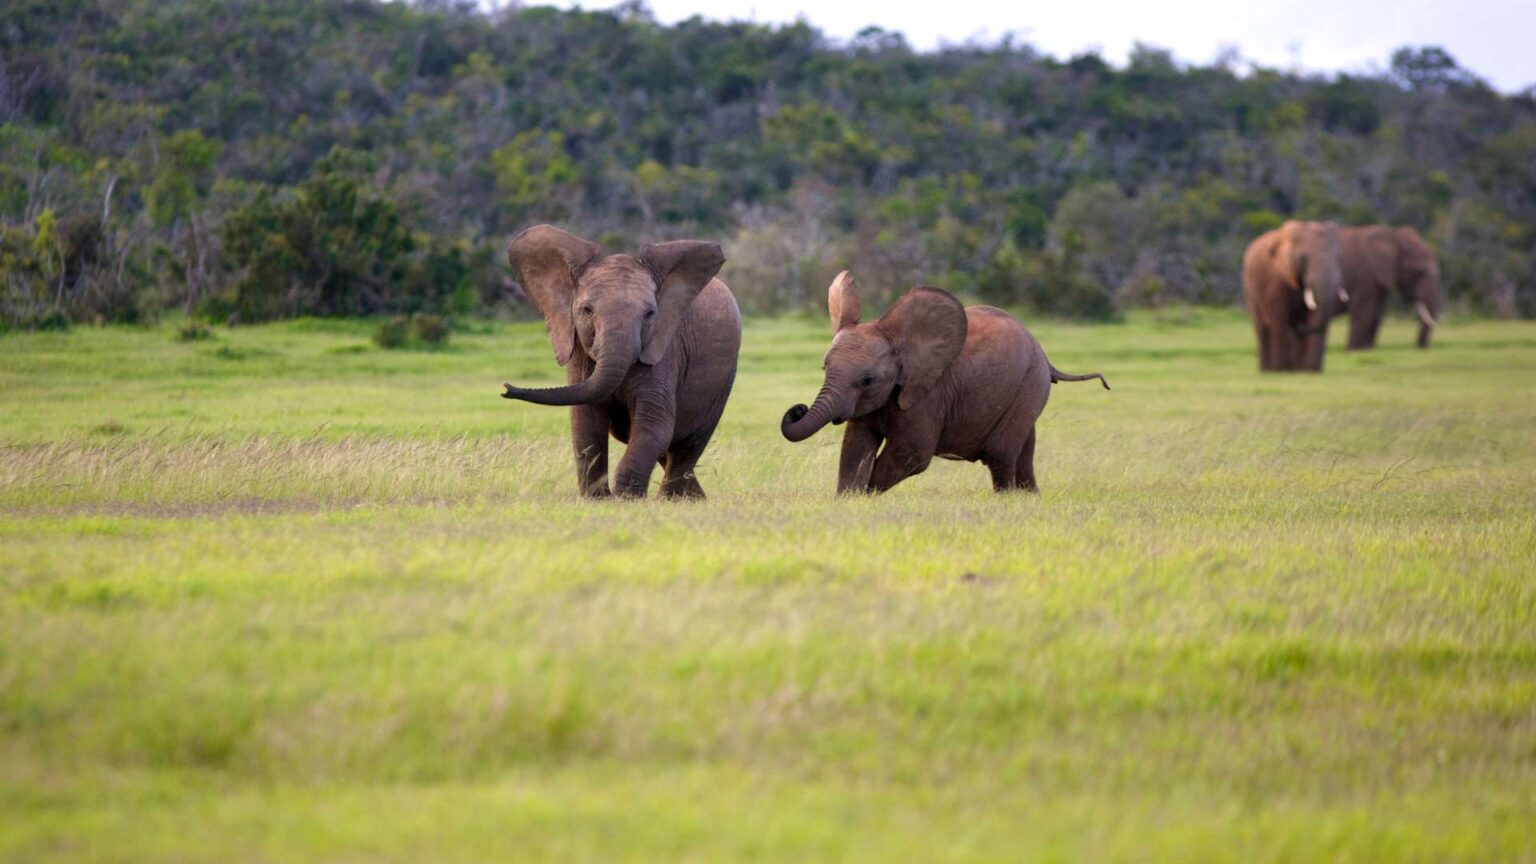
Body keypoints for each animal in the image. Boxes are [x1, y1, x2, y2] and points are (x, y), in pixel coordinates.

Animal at [501, 225, 740, 499]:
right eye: (587, 310)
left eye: (649, 314)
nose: (506, 388)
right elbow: (586, 423)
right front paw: (598, 500)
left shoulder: (665, 350)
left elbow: (654, 424)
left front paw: (627, 500)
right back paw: (694, 499)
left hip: (720, 385)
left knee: (687, 446)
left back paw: (675, 500)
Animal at [780, 273, 1109, 494]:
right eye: (825, 368)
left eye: (867, 379)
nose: (798, 408)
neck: (902, 342)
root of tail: (1044, 355)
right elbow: (855, 447)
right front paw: (848, 499)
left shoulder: (927, 395)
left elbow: (911, 455)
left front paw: (865, 496)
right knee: (1024, 452)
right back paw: (1029, 499)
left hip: (1029, 388)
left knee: (1002, 454)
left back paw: (1008, 499)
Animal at [1242, 220, 1347, 372]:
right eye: (1303, 258)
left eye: (1338, 258)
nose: (1299, 326)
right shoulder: (1277, 280)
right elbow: (1279, 318)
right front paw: (1280, 371)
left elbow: (1312, 315)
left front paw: (1309, 372)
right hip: (1251, 290)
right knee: (1263, 329)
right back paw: (1268, 371)